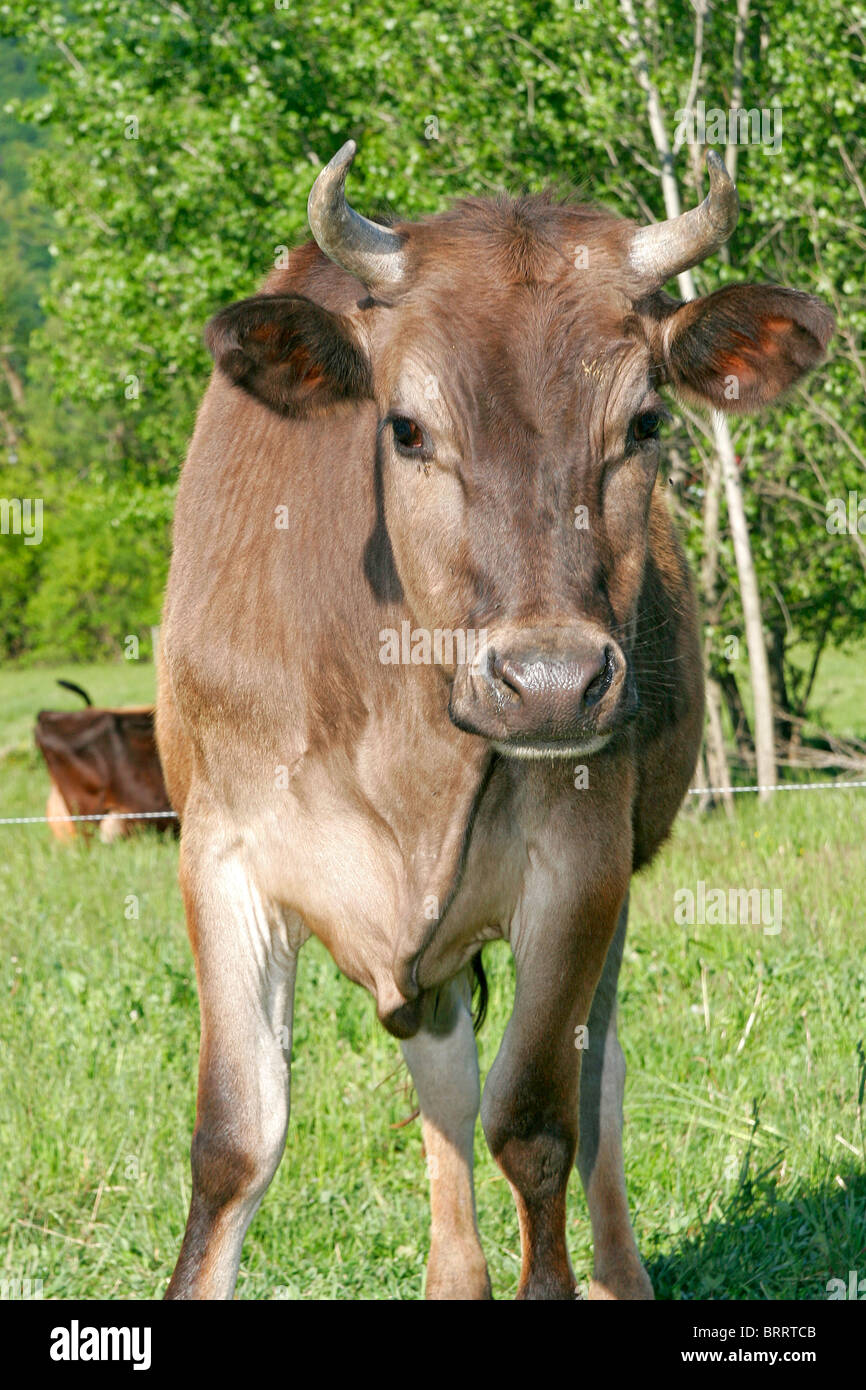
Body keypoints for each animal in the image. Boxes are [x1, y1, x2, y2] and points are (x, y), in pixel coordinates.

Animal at [157, 142, 833, 1300]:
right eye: (406, 428)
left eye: (644, 423)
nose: (551, 682)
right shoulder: (224, 853)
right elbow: (235, 1143)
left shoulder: (580, 866)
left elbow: (536, 1124)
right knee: (443, 1079)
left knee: (597, 1079)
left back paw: (621, 1273)